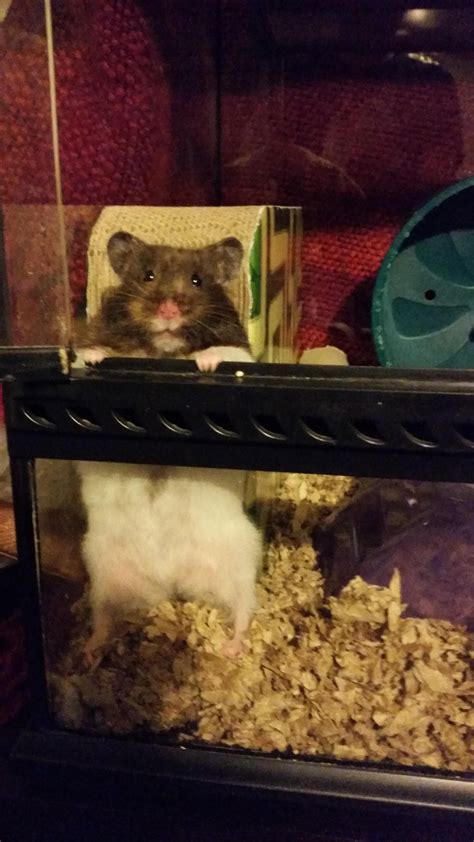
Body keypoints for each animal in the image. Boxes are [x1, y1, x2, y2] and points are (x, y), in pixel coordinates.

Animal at [77, 232, 261, 666]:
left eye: (197, 281)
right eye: (148, 275)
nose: (169, 309)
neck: (162, 353)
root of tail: (169, 581)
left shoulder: (243, 353)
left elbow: (227, 353)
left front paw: (205, 362)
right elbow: (89, 351)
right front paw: (95, 357)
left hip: (241, 556)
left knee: (243, 608)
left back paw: (231, 648)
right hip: (101, 568)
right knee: (104, 618)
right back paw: (89, 653)